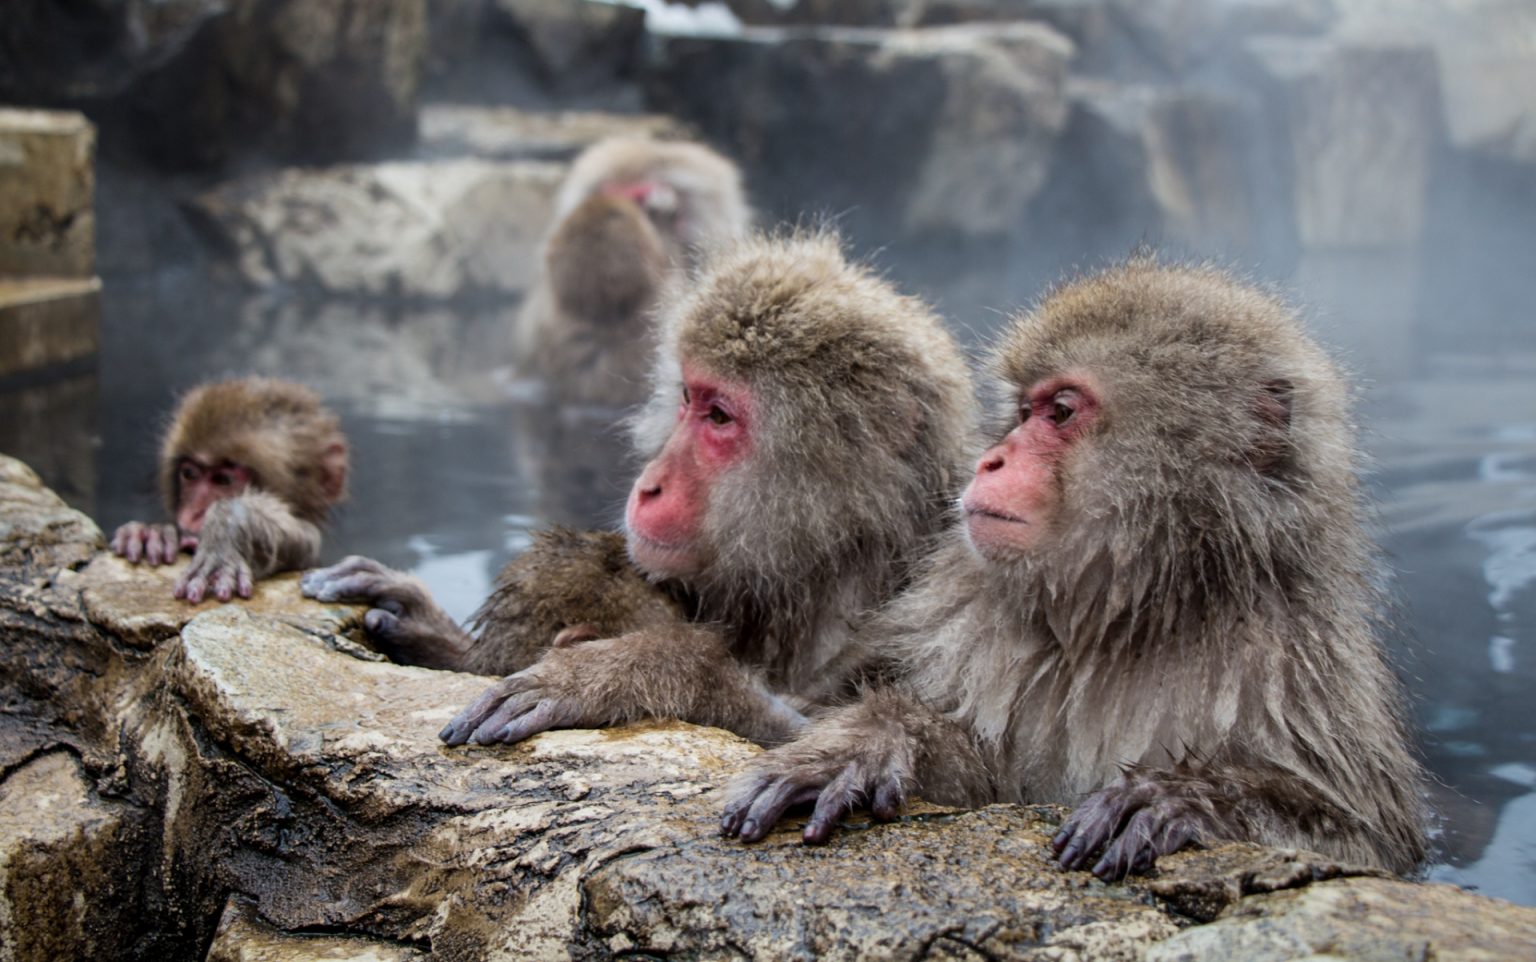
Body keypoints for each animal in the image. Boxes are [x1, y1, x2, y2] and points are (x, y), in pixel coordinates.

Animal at [302, 231, 976, 747]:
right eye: (687, 398)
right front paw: (439, 634)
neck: (833, 564)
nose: (649, 485)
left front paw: (630, 671)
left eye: (719, 417)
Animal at [719, 259, 1428, 881]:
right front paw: (871, 742)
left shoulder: (1297, 660)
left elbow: (1365, 844)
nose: (991, 459)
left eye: (1059, 412)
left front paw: (1184, 799)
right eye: (1022, 413)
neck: (1128, 615)